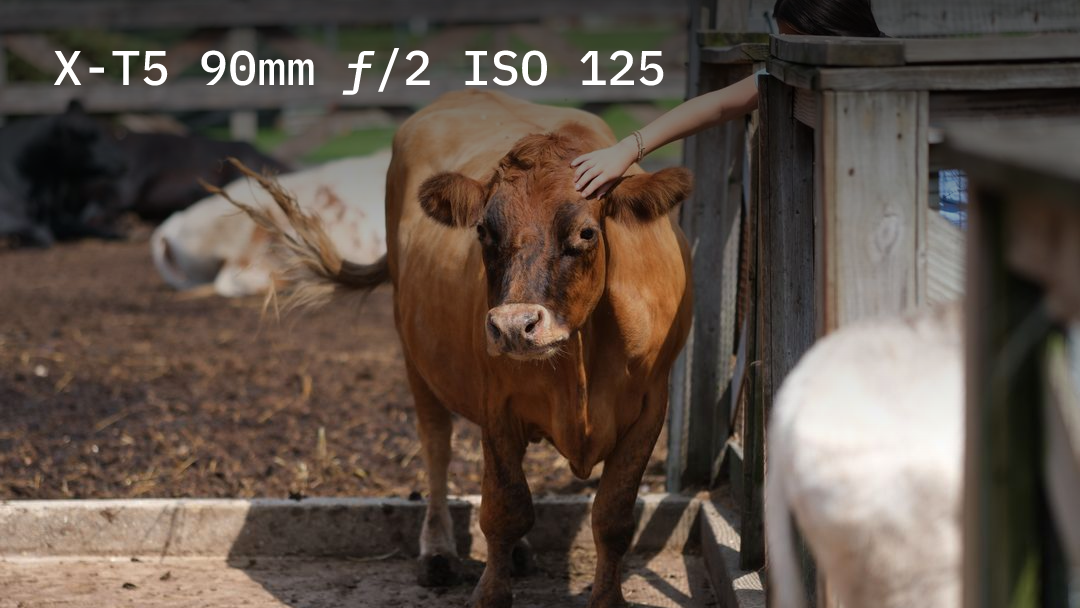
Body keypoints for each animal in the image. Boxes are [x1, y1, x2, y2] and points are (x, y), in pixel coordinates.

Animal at [223, 90, 693, 608]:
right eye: (484, 232)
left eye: (586, 233)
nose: (514, 326)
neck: (582, 363)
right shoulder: (497, 403)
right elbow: (505, 508)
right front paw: (490, 592)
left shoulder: (650, 407)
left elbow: (612, 517)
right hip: (415, 355)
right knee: (437, 447)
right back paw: (438, 552)